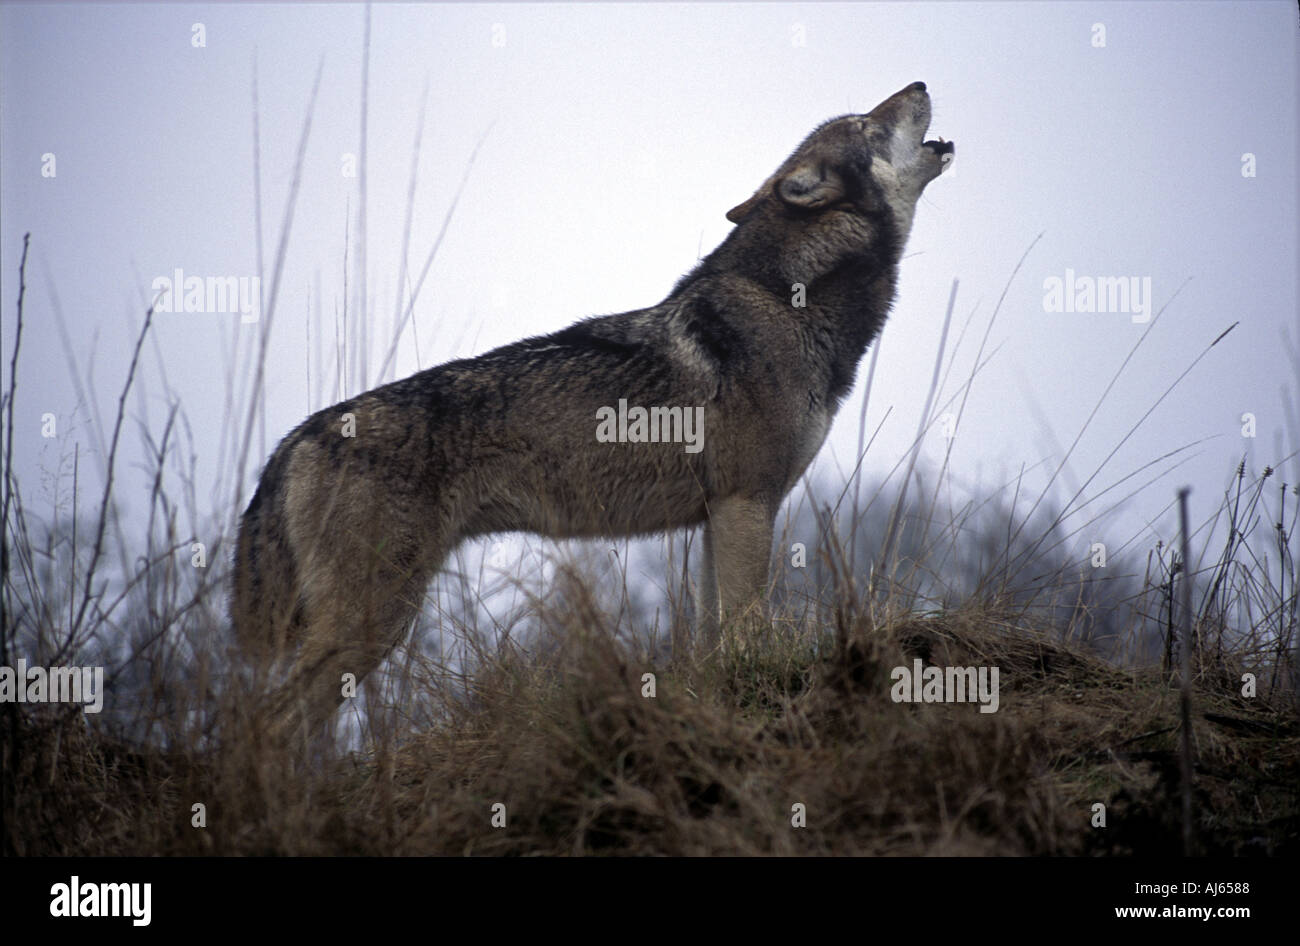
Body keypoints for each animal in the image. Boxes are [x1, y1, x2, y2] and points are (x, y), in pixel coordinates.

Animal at [233, 81, 953, 741]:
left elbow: (716, 639)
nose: (919, 83)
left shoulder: (717, 516)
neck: (787, 295)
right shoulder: (748, 503)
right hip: (373, 620)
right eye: (867, 121)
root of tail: (296, 438)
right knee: (266, 722)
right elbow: (746, 627)